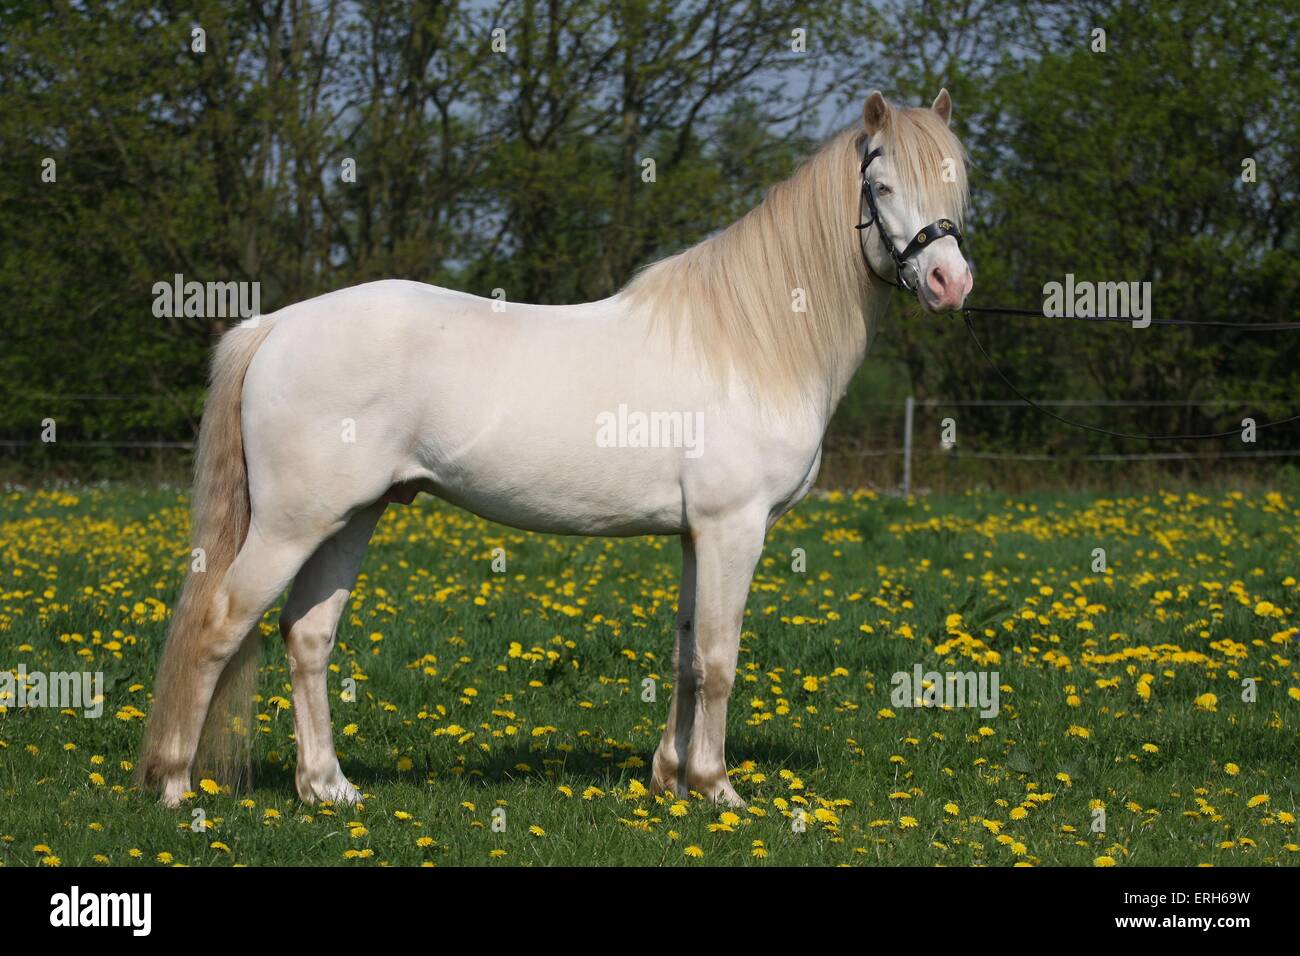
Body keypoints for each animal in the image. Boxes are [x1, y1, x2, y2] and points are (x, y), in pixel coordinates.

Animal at [138, 89, 973, 808]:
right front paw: (715, 788)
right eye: (882, 186)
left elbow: (684, 654)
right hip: (291, 525)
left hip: (351, 517)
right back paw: (177, 786)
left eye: (957, 184)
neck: (749, 342)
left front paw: (669, 779)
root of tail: (274, 325)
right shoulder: (733, 528)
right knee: (219, 624)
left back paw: (327, 788)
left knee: (308, 636)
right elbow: (719, 659)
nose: (949, 282)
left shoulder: (696, 535)